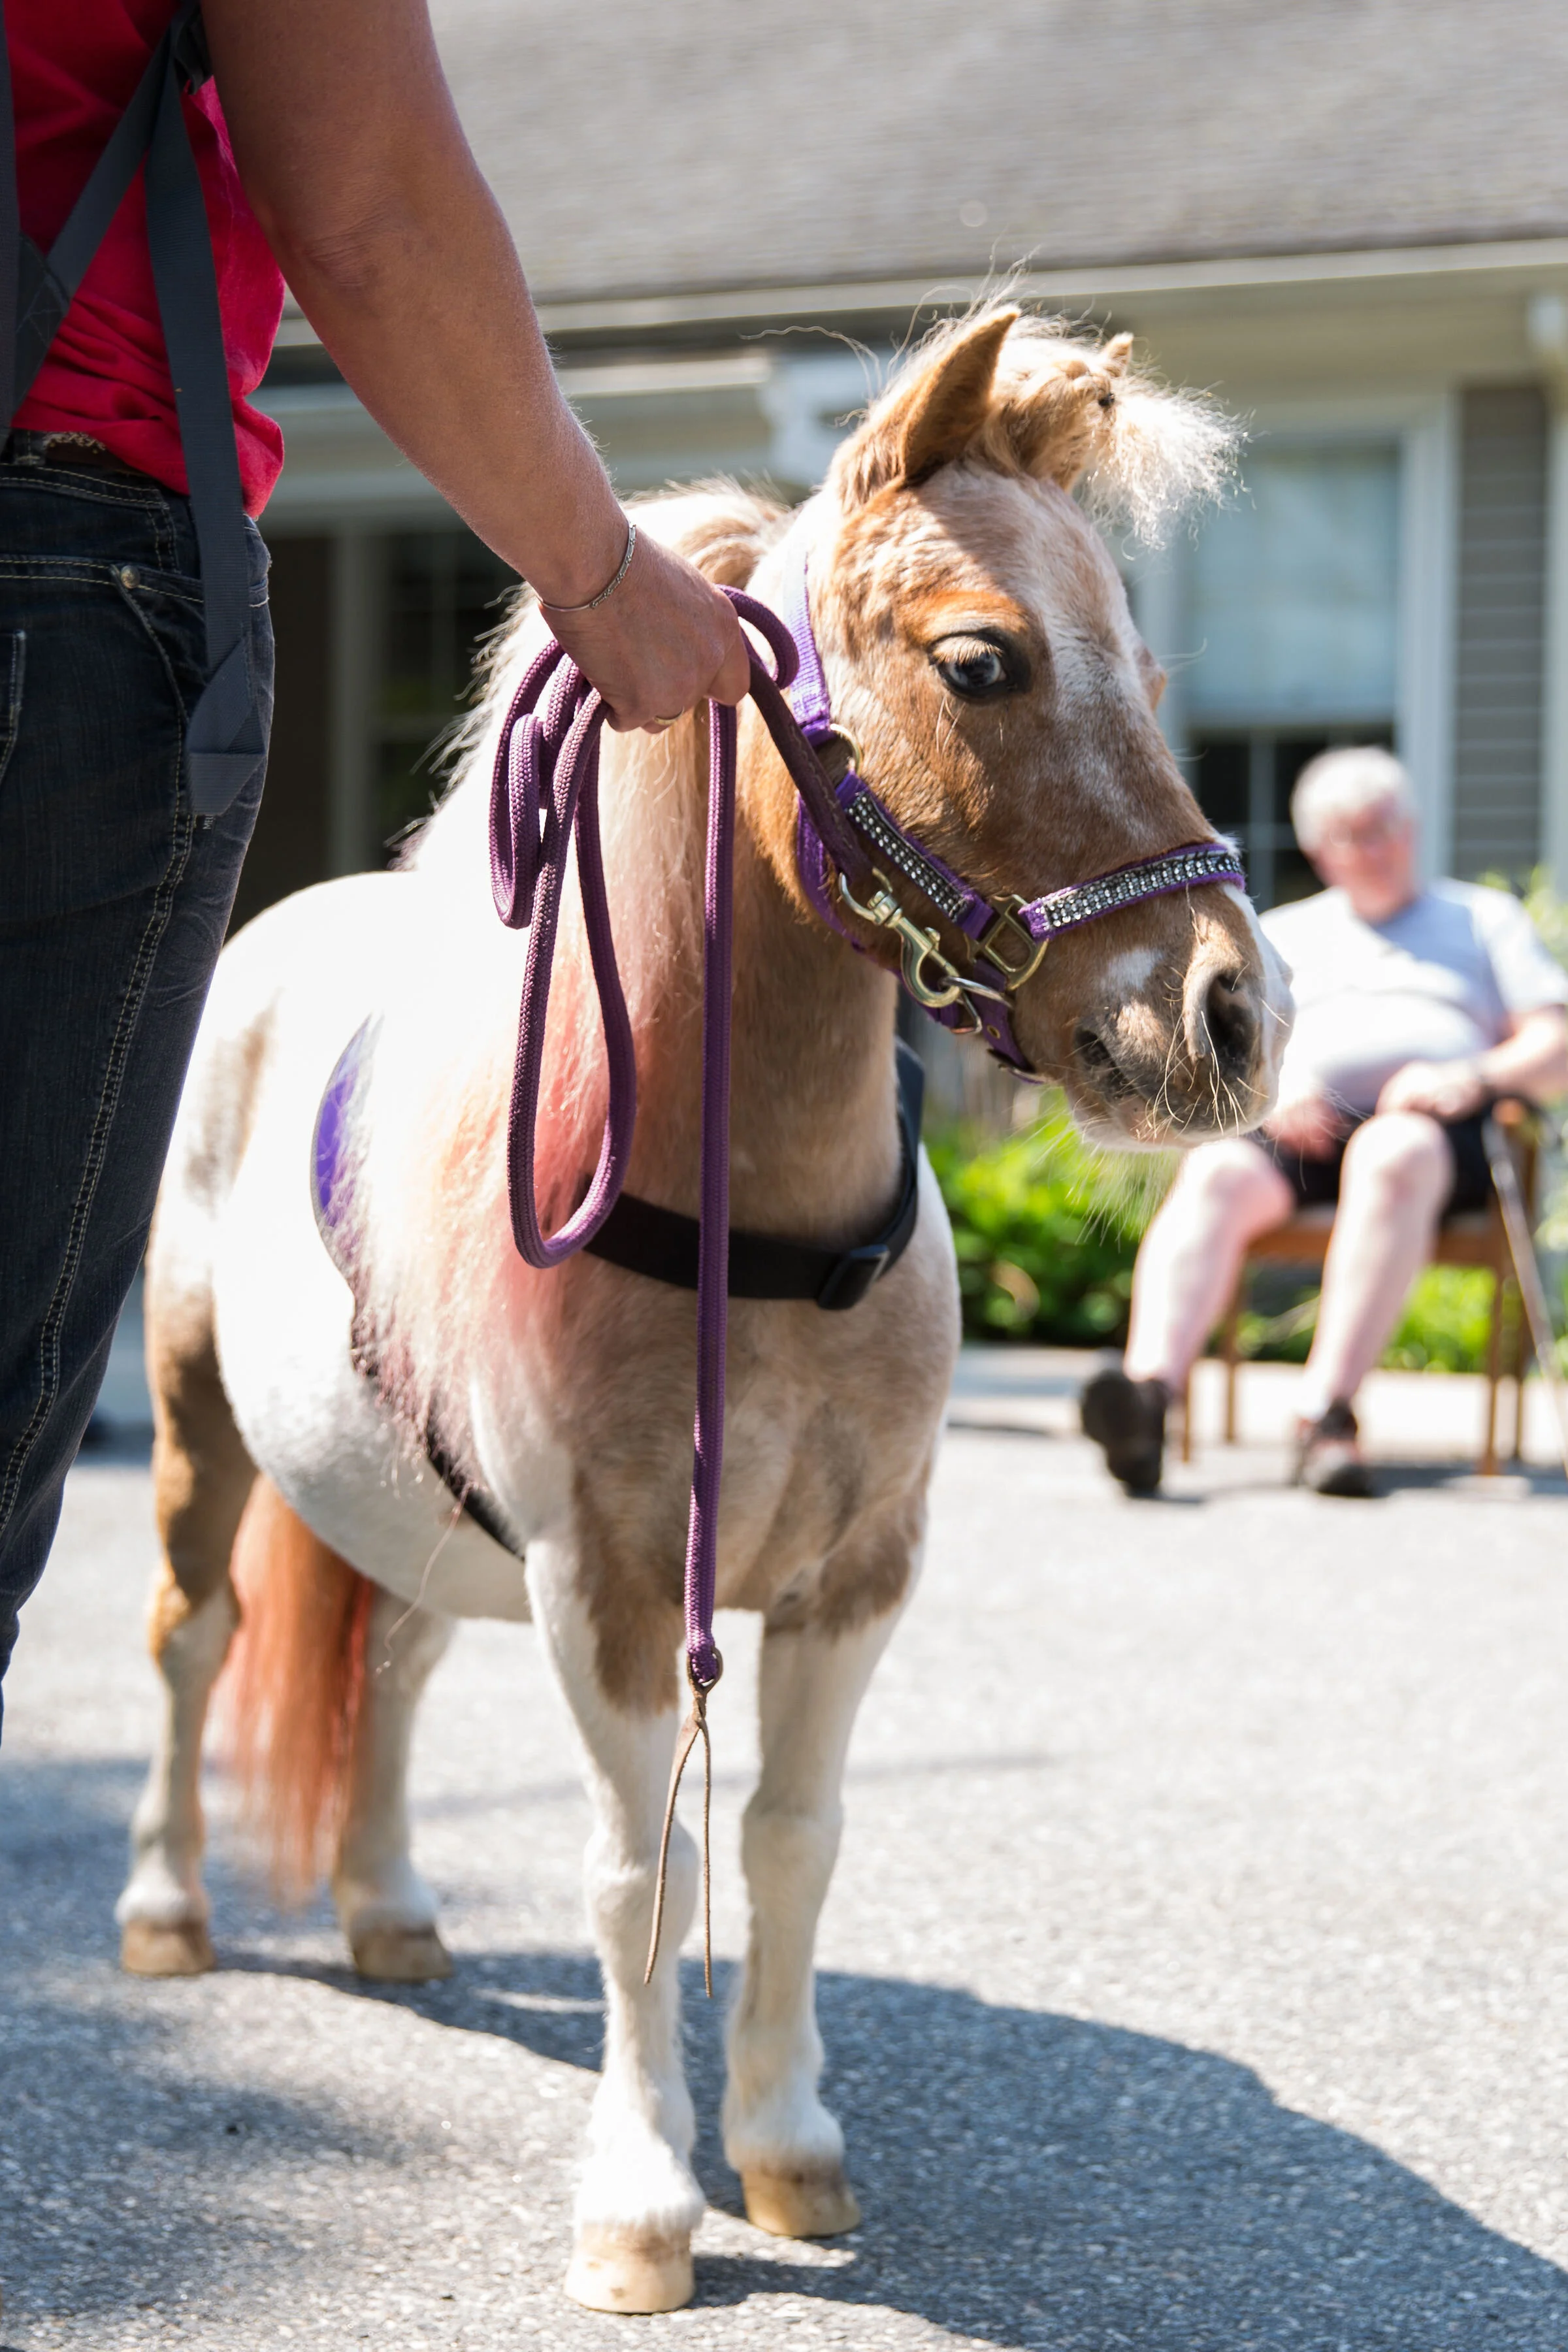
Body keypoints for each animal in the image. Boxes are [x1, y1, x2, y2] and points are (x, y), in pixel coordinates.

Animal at [115, 305, 1291, 2314]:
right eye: (982, 661)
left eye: (1144, 669)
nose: (1230, 1015)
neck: (767, 1241)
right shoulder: (601, 1590)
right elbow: (629, 1879)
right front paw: (643, 2198)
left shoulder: (851, 1581)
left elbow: (786, 1844)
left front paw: (785, 2146)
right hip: (201, 1431)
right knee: (193, 1642)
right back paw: (168, 1908)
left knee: (389, 1669)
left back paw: (390, 1909)